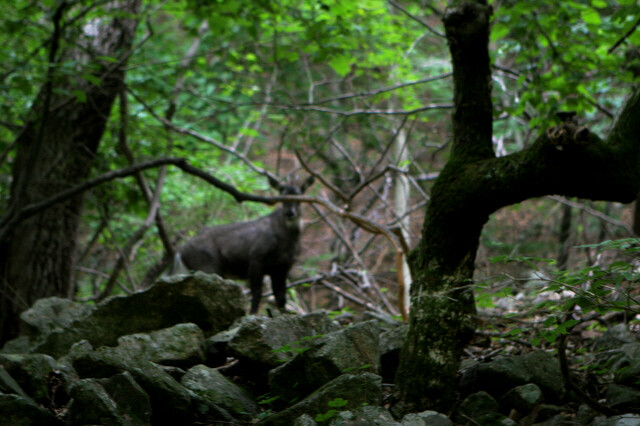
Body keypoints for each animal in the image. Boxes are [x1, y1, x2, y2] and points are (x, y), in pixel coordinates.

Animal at [171, 176, 314, 314]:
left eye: (299, 196)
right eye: (282, 196)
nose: (290, 213)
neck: (285, 239)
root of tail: (180, 252)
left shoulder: (282, 267)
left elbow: (281, 297)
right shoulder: (256, 258)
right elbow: (257, 292)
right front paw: (252, 314)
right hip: (206, 267)